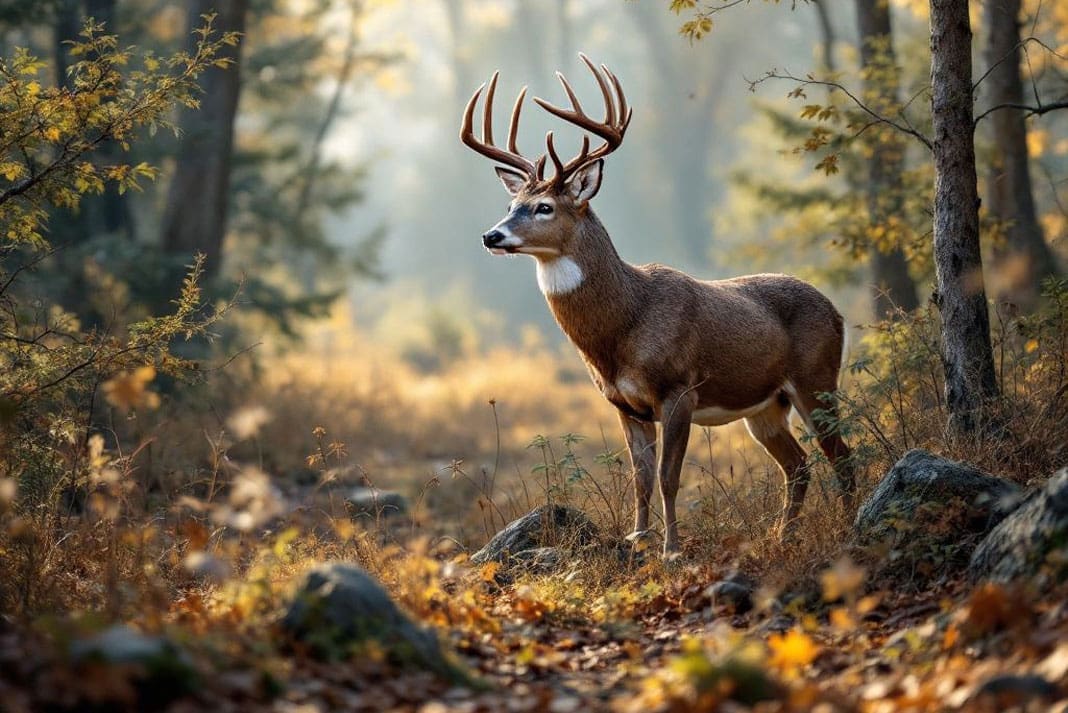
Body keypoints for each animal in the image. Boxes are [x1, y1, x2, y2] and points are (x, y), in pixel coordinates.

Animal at [460, 54, 856, 559]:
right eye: (512, 203)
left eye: (545, 206)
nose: (491, 235)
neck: (624, 327)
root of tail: (837, 311)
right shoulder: (624, 404)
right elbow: (641, 479)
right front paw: (639, 539)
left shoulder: (679, 388)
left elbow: (669, 477)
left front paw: (671, 548)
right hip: (767, 405)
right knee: (799, 463)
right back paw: (782, 534)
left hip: (816, 378)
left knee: (841, 455)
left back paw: (849, 527)